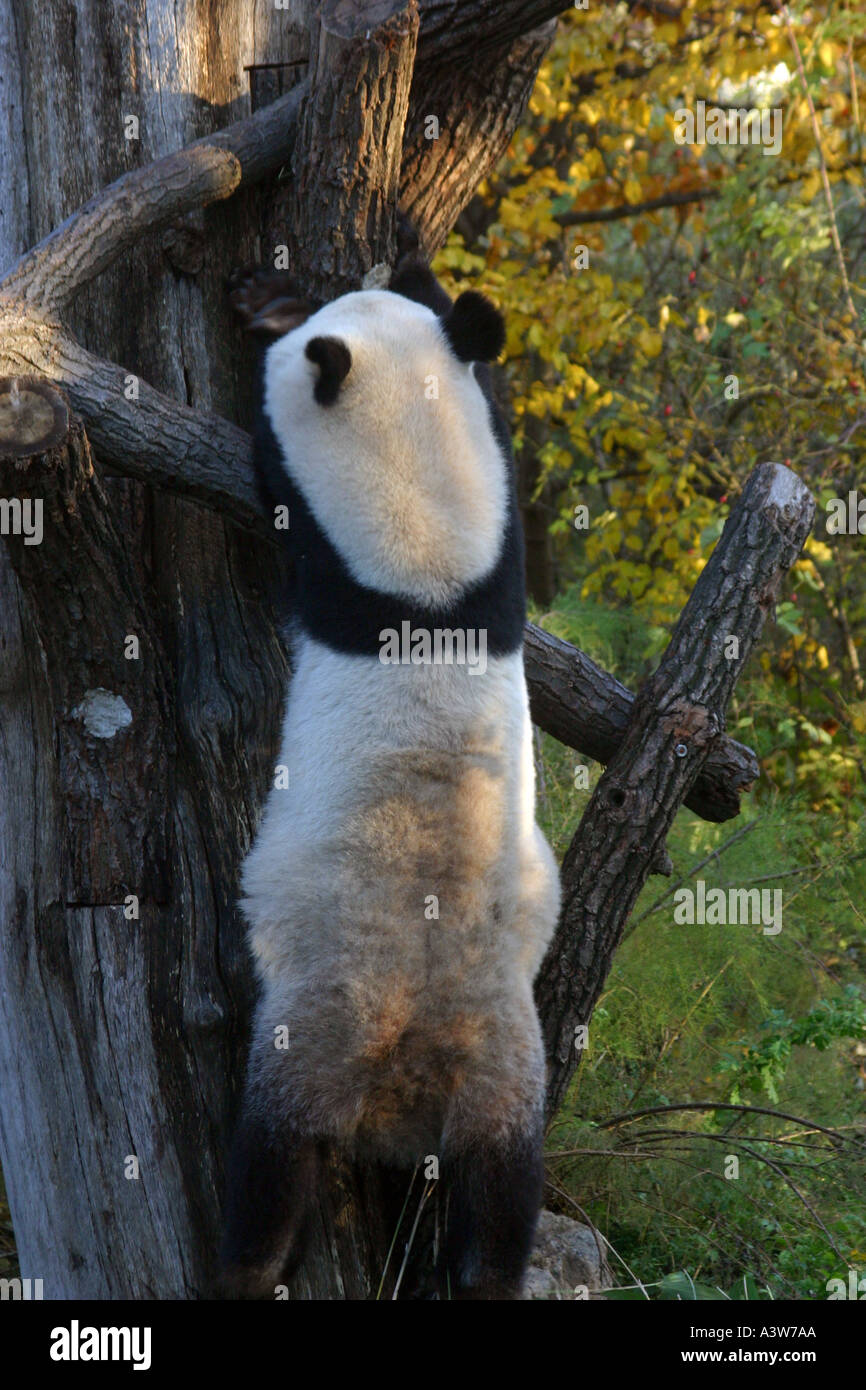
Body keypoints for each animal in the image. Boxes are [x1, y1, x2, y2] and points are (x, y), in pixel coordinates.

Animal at [220, 244, 561, 1300]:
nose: (278, 298)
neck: (432, 588)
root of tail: (412, 1071)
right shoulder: (501, 545)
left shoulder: (331, 541)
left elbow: (274, 487)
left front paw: (262, 305)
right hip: (509, 1063)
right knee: (502, 1196)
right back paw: (485, 1272)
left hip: (318, 1022)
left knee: (273, 1157)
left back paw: (242, 1265)